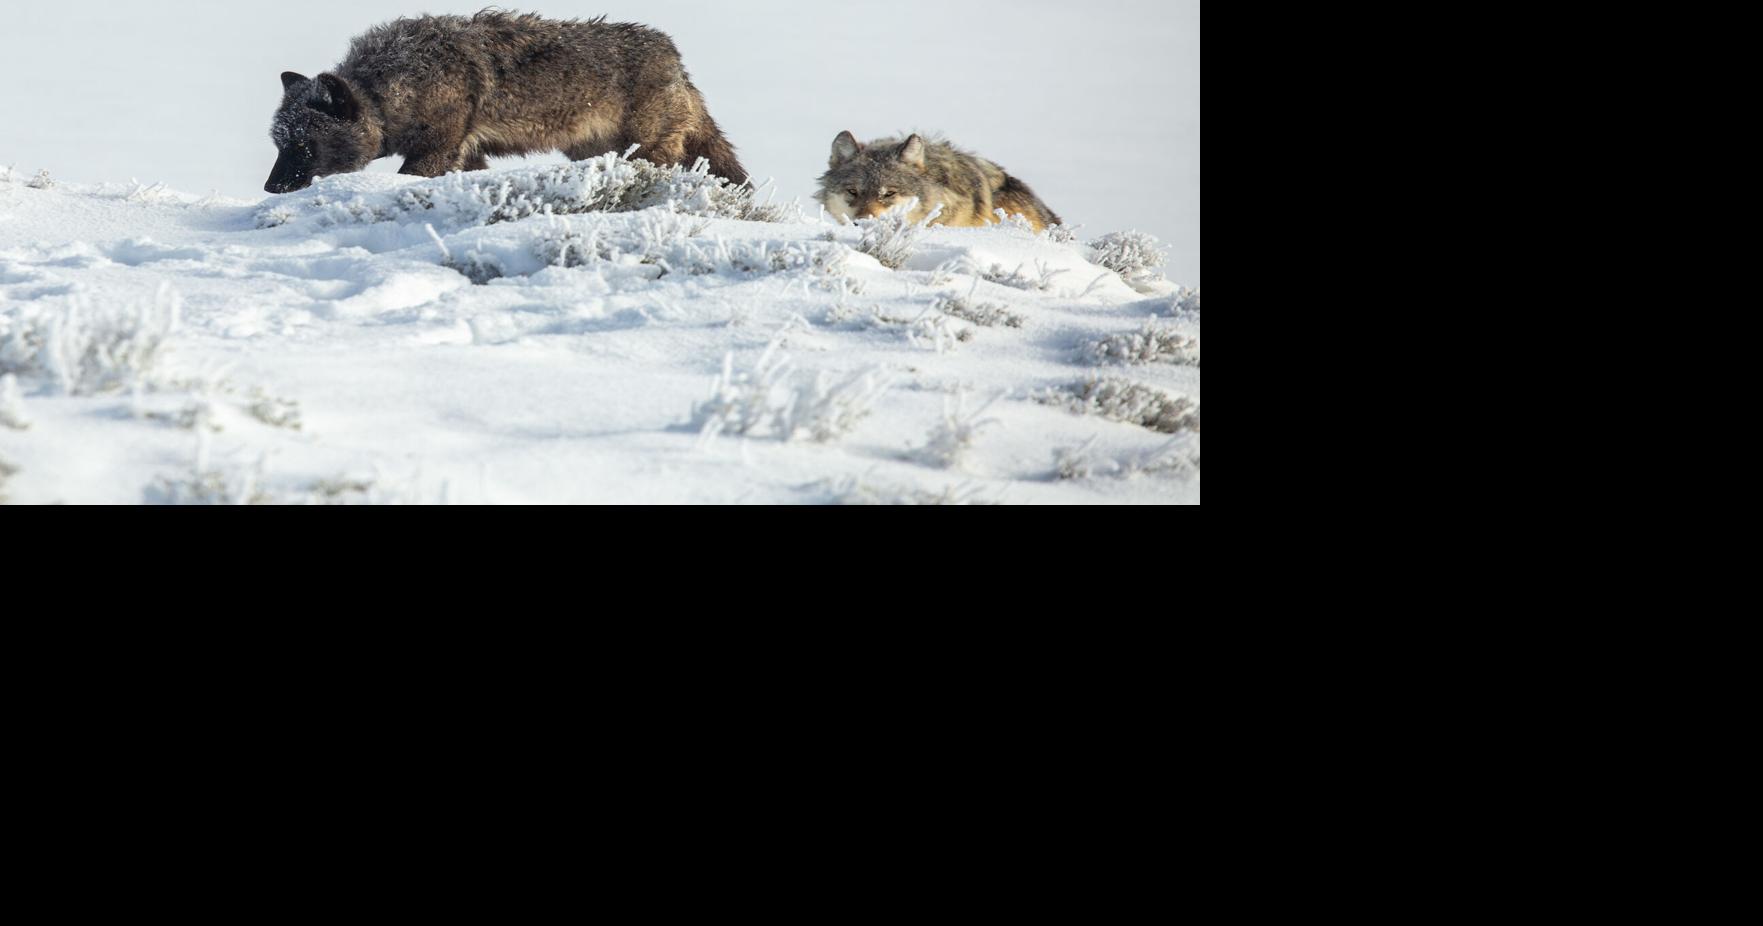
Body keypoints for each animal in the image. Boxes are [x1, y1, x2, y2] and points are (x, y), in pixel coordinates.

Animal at [265, 11, 747, 194]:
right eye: (280, 145)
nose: (270, 188)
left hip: (645, 152)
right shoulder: (466, 155)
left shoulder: (435, 151)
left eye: (304, 146)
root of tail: (677, 60)